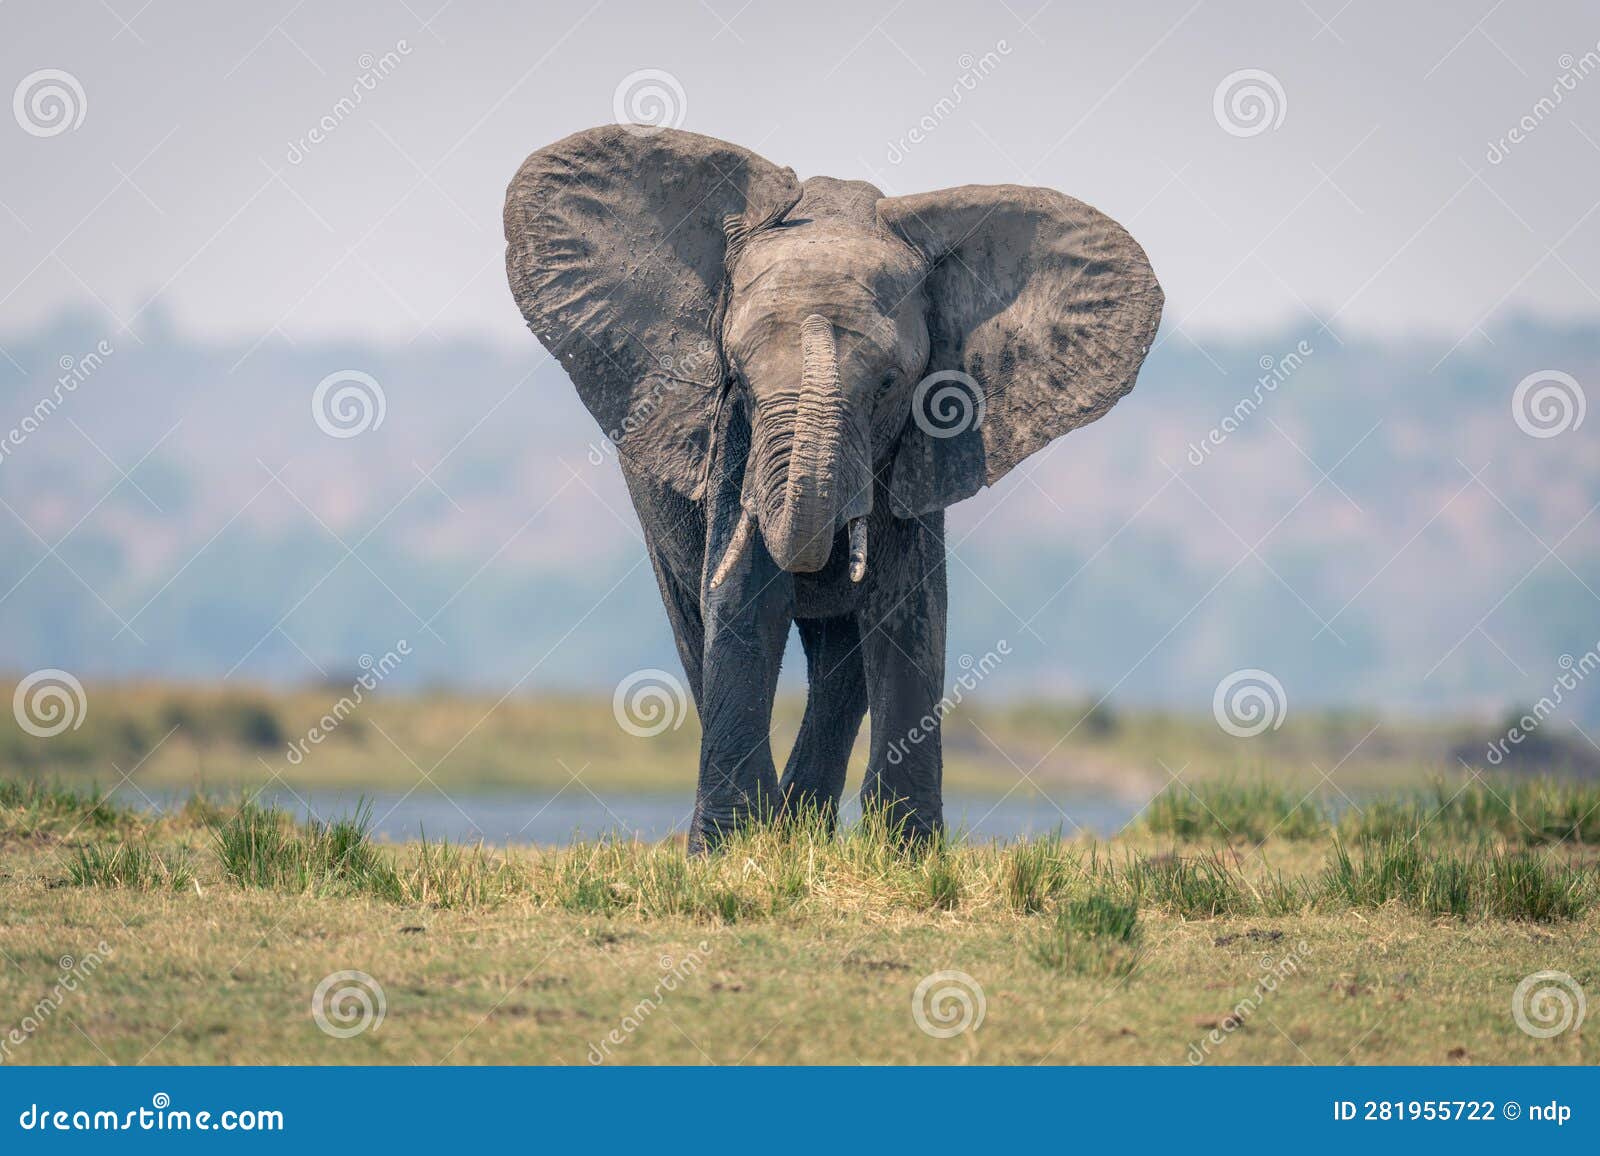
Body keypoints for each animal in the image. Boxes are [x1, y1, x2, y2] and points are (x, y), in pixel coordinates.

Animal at [503, 125, 1162, 852]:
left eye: (891, 384)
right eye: (737, 373)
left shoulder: (915, 448)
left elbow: (909, 611)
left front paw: (907, 853)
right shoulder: (732, 435)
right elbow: (744, 597)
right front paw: (731, 849)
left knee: (840, 661)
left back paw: (803, 827)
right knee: (694, 622)